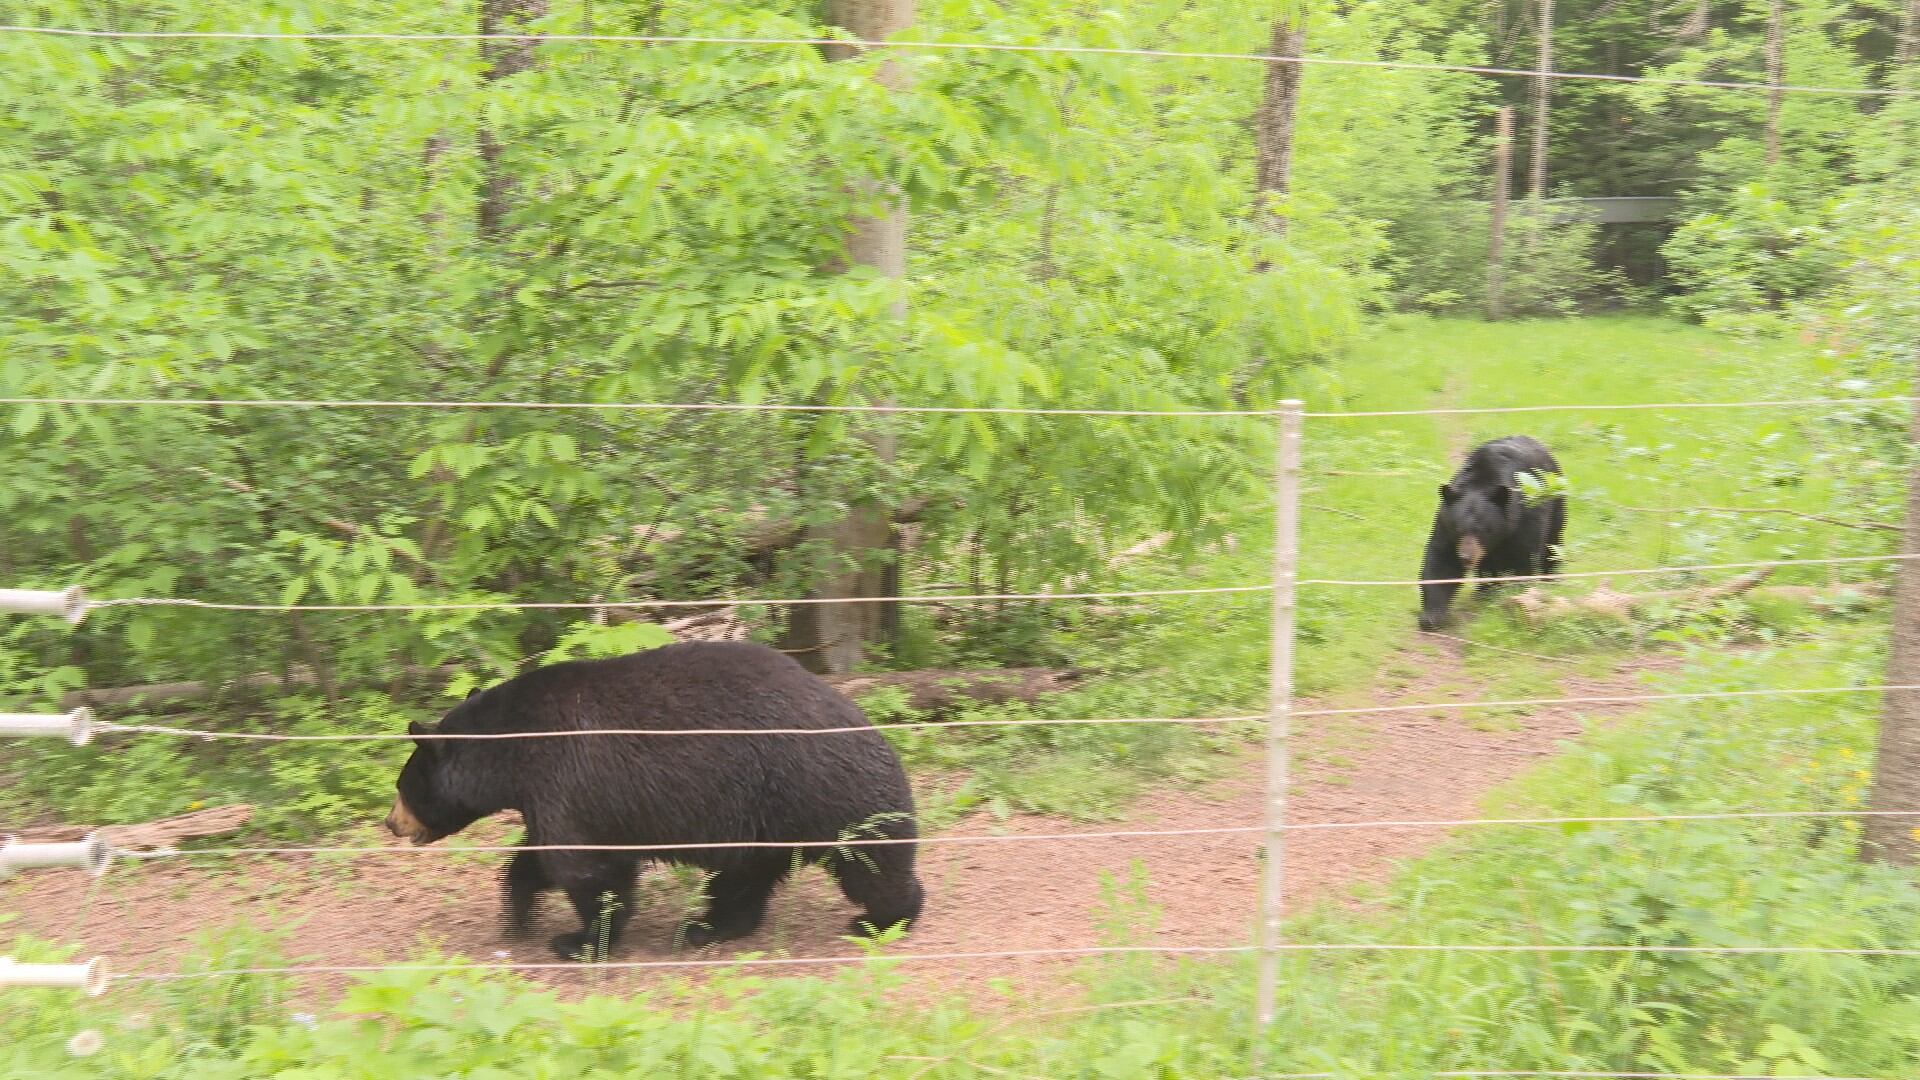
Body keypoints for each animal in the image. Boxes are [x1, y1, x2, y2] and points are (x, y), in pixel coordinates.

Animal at [382, 639, 925, 961]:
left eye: (402, 788)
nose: (391, 823)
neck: (514, 748)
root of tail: (867, 726)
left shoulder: (569, 779)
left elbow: (585, 868)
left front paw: (579, 940)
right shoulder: (549, 796)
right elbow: (539, 855)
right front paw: (517, 914)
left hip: (822, 791)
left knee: (870, 861)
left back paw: (882, 917)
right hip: (761, 817)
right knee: (744, 877)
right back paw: (708, 926)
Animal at [1417, 435, 1566, 631]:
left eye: (1482, 529)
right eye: (1458, 528)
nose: (1465, 557)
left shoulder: (1524, 516)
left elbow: (1523, 557)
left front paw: (1517, 593)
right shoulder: (1445, 522)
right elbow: (1442, 560)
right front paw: (1431, 616)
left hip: (1554, 497)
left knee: (1553, 543)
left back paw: (1550, 577)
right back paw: (1485, 591)